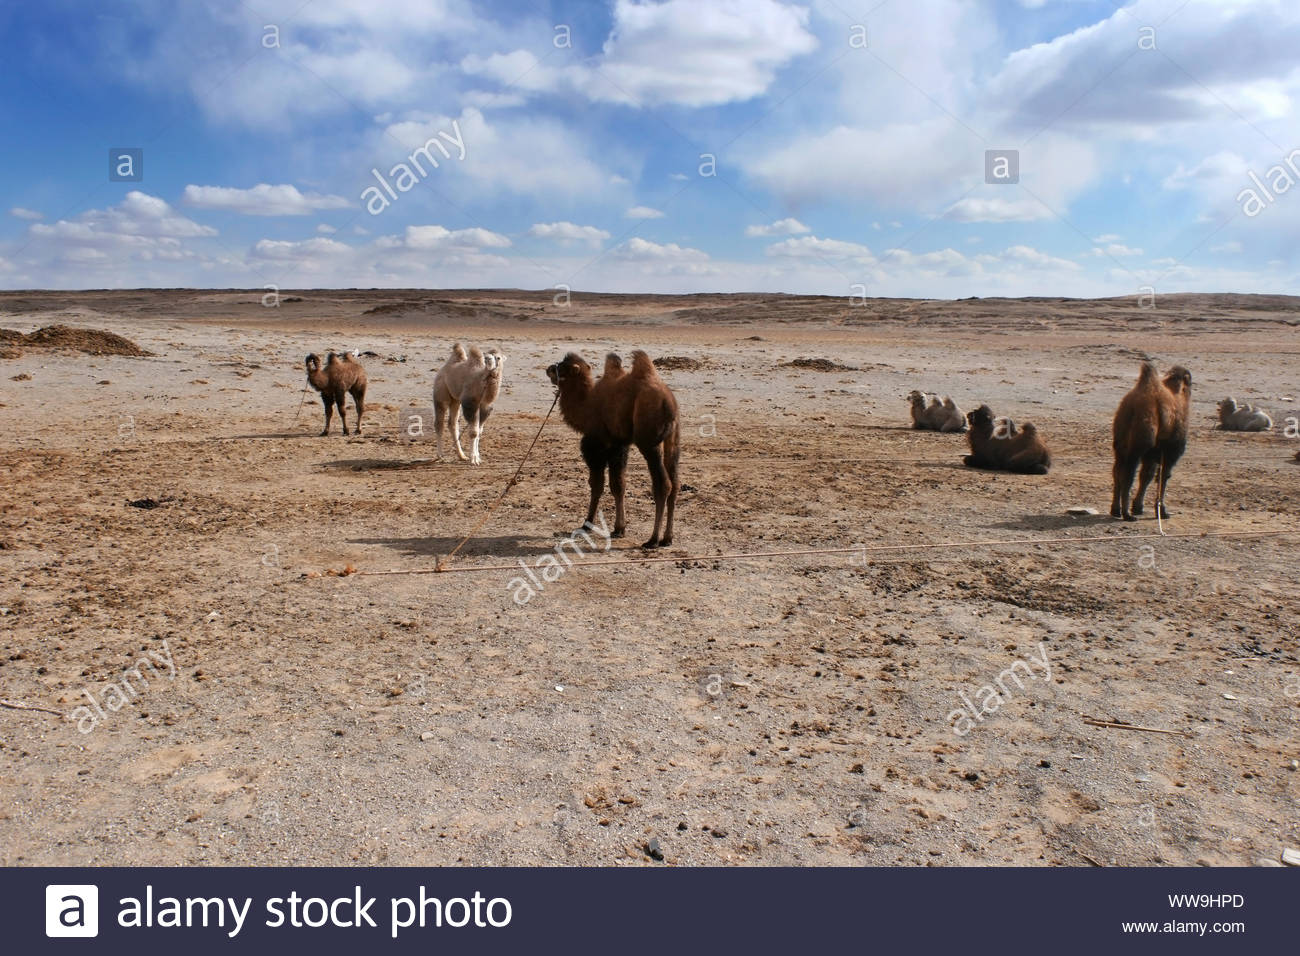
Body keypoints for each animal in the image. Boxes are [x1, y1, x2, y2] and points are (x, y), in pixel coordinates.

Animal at [547, 350, 680, 548]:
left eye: (562, 367)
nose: (548, 369)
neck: (586, 406)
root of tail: (668, 403)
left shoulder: (597, 445)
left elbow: (597, 485)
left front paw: (587, 523)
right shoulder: (619, 445)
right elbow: (618, 485)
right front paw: (619, 529)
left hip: (649, 442)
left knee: (663, 484)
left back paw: (653, 540)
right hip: (673, 440)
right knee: (675, 483)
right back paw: (667, 538)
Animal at [1111, 362, 1191, 521]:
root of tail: (1133, 406)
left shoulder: (1153, 451)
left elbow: (1147, 475)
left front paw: (1138, 507)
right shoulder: (1171, 449)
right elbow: (1163, 476)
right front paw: (1162, 511)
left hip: (1120, 442)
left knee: (1117, 470)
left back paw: (1116, 510)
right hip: (1139, 443)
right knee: (1128, 474)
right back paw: (1127, 514)